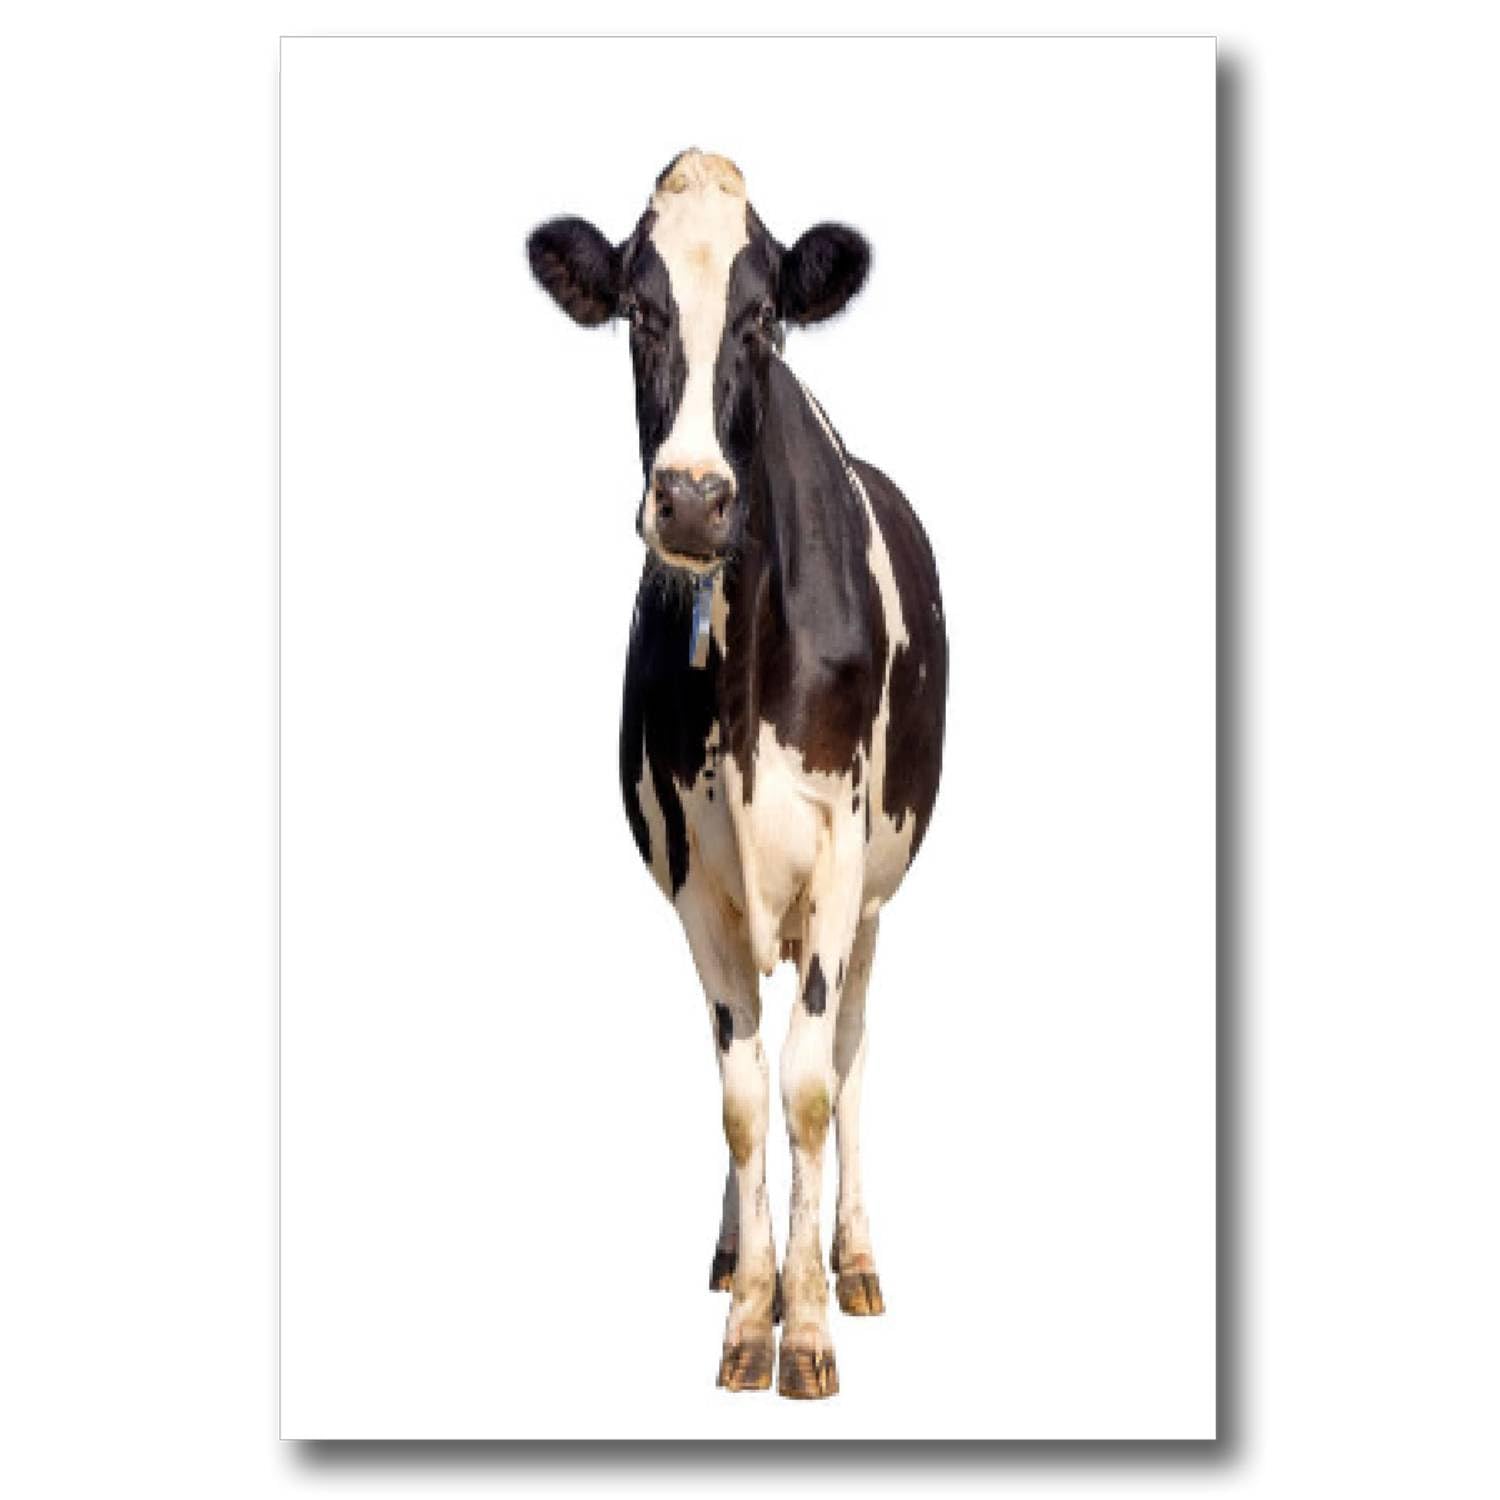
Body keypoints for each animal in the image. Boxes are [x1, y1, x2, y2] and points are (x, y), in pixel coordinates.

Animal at [526, 149, 946, 1399]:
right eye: (638, 312)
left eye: (765, 319)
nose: (695, 500)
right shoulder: (697, 878)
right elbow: (744, 1099)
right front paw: (751, 1312)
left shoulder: (842, 862)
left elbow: (808, 1088)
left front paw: (805, 1323)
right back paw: (730, 1252)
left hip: (874, 903)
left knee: (848, 1059)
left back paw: (853, 1258)